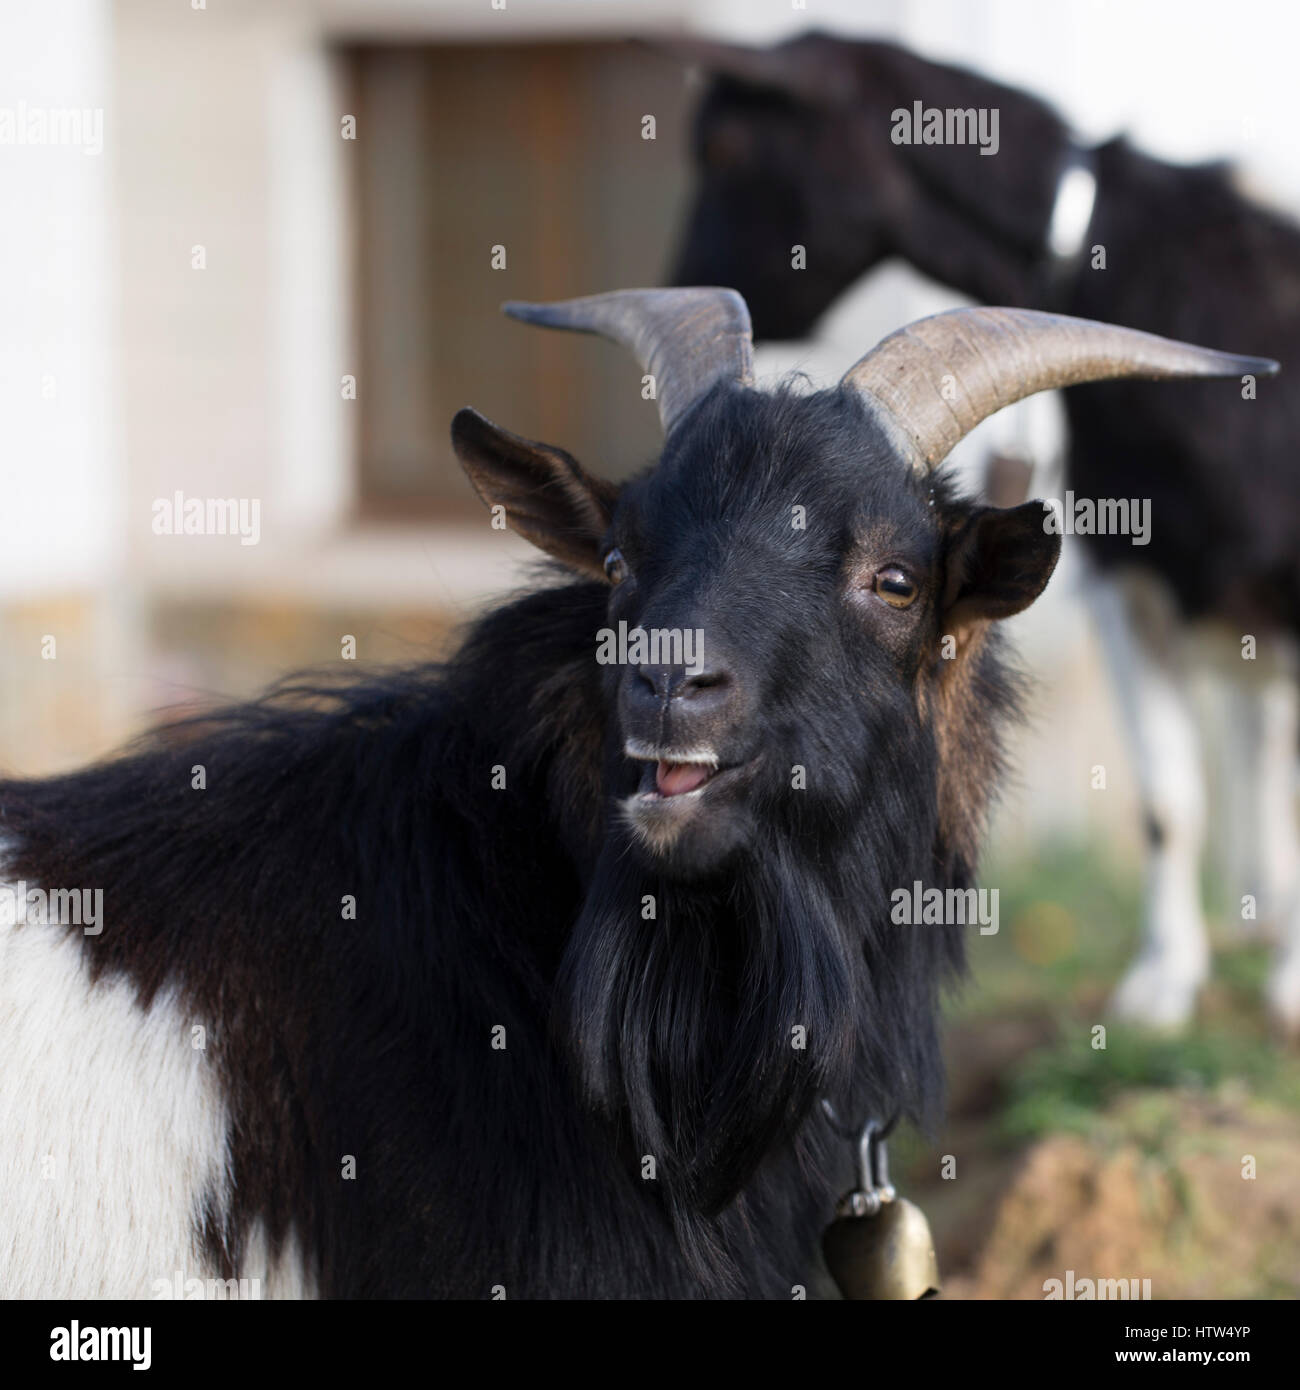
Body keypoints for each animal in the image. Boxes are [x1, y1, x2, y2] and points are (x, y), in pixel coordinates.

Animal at [668, 32, 1300, 1031]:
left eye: (726, 147)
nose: (679, 272)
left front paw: (1289, 988)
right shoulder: (1126, 572)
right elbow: (1167, 798)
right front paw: (1160, 987)